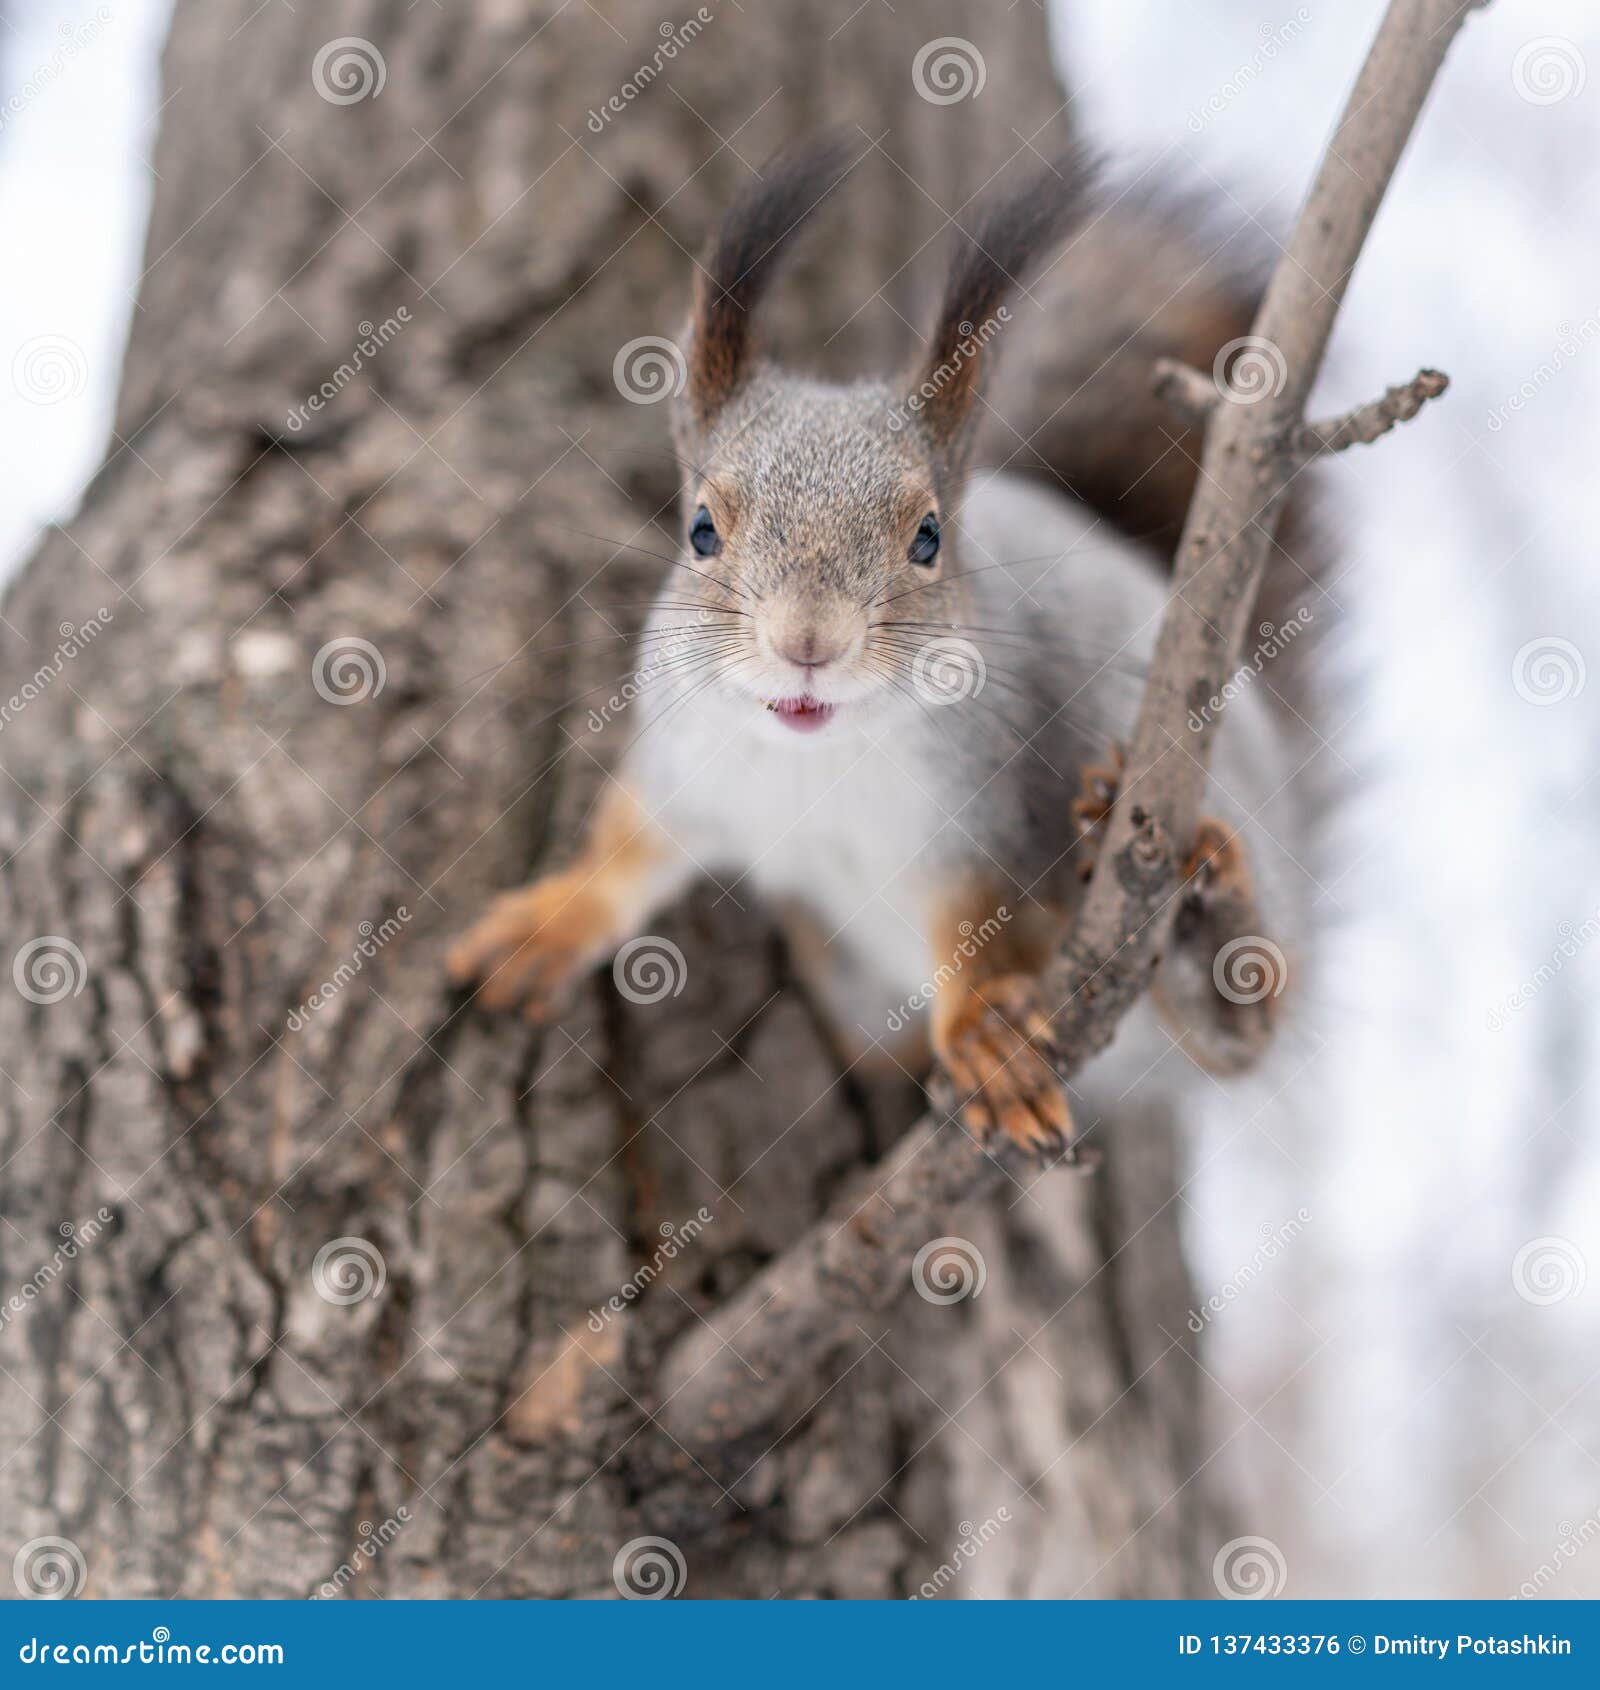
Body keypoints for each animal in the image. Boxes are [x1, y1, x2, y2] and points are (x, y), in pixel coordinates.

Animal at [449, 145, 1310, 1161]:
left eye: (929, 538)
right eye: (700, 528)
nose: (808, 641)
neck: (815, 761)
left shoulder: (984, 820)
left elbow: (985, 936)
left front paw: (985, 1036)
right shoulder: (687, 772)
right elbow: (626, 853)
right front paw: (546, 923)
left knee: (1245, 1035)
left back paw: (1206, 921)